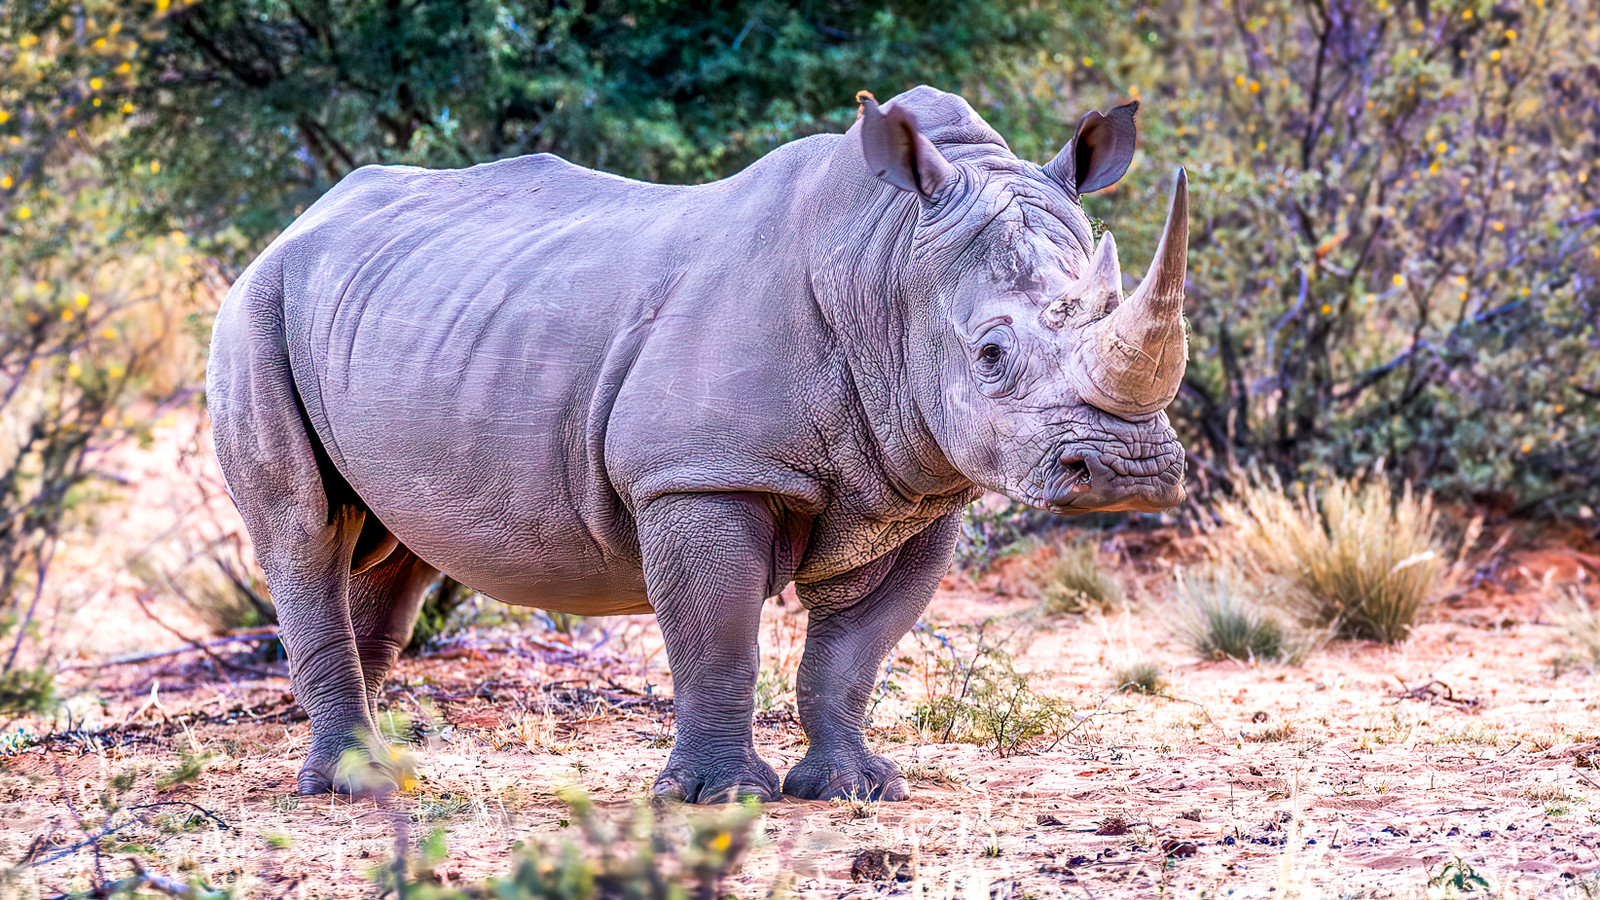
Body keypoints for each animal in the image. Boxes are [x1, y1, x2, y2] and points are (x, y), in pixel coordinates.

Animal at [207, 85, 1190, 803]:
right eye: (990, 354)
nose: (1129, 471)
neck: (887, 265)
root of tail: (297, 223)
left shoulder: (919, 487)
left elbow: (853, 654)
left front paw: (855, 791)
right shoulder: (701, 474)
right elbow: (719, 638)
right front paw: (722, 797)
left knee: (390, 549)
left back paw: (381, 773)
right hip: (254, 305)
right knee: (303, 532)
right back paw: (348, 787)